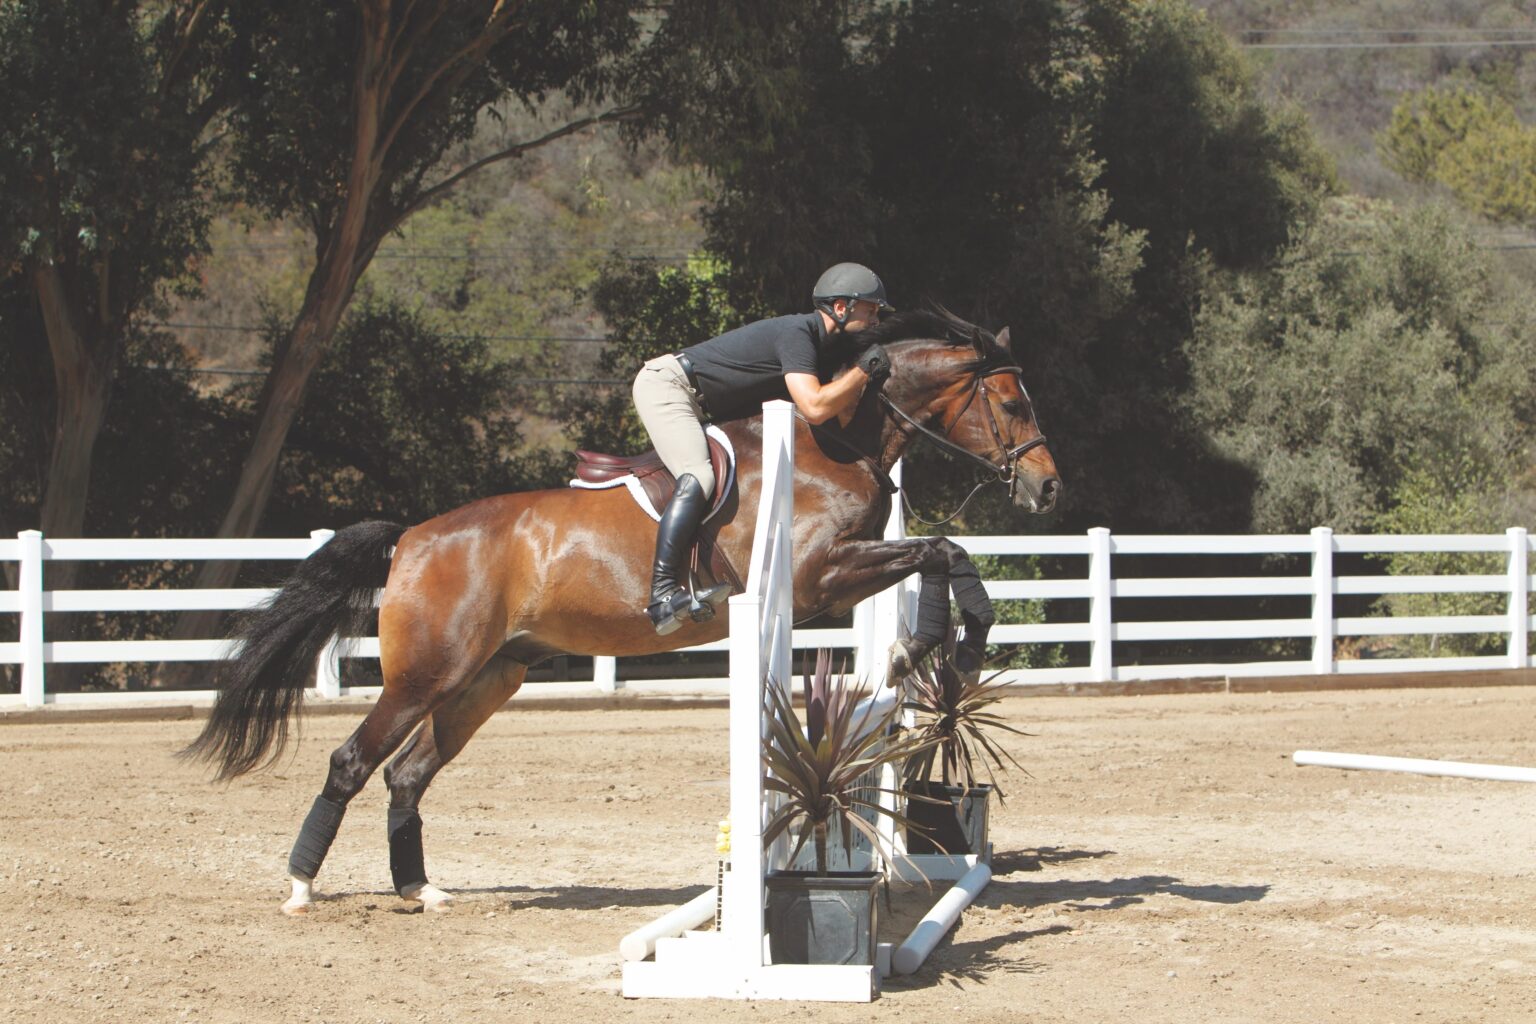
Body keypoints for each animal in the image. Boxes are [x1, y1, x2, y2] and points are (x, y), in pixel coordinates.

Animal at [182, 308, 1061, 915]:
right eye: (1014, 403)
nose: (1048, 488)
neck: (833, 442)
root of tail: (411, 538)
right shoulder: (815, 578)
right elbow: (943, 550)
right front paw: (943, 647)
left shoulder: (837, 578)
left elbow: (939, 552)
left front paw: (930, 651)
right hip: (426, 674)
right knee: (353, 763)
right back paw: (300, 889)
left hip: (489, 677)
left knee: (407, 774)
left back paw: (418, 890)